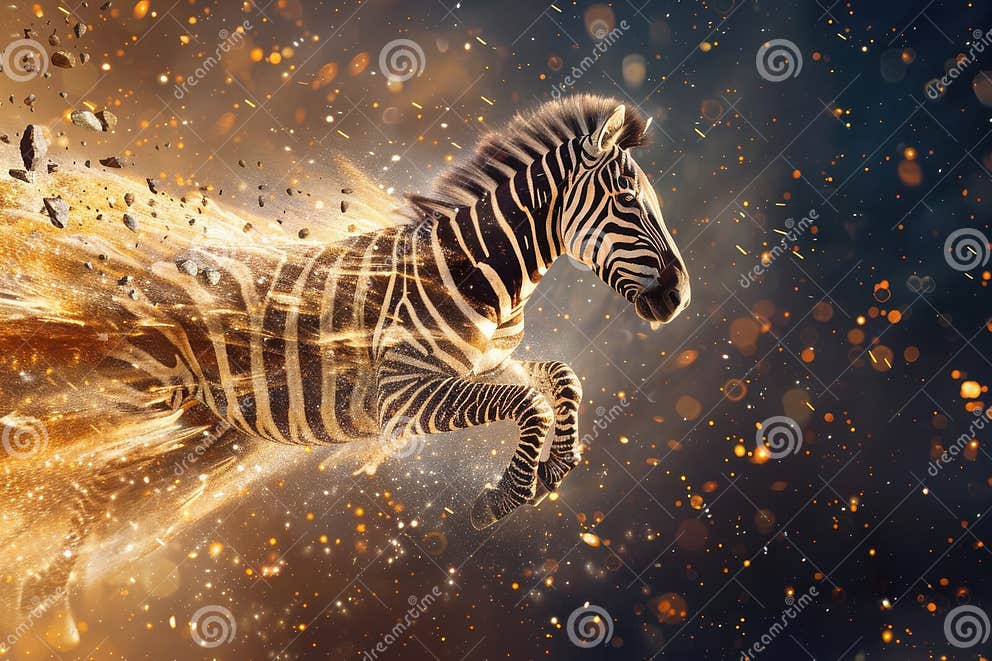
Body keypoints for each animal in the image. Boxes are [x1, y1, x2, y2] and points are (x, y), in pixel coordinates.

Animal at [1, 94, 689, 618]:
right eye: (628, 200)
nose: (679, 299)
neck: (477, 272)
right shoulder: (402, 396)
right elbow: (528, 405)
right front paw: (501, 500)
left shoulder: (485, 362)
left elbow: (562, 381)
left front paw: (557, 464)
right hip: (137, 405)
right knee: (80, 485)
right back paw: (49, 605)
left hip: (190, 428)